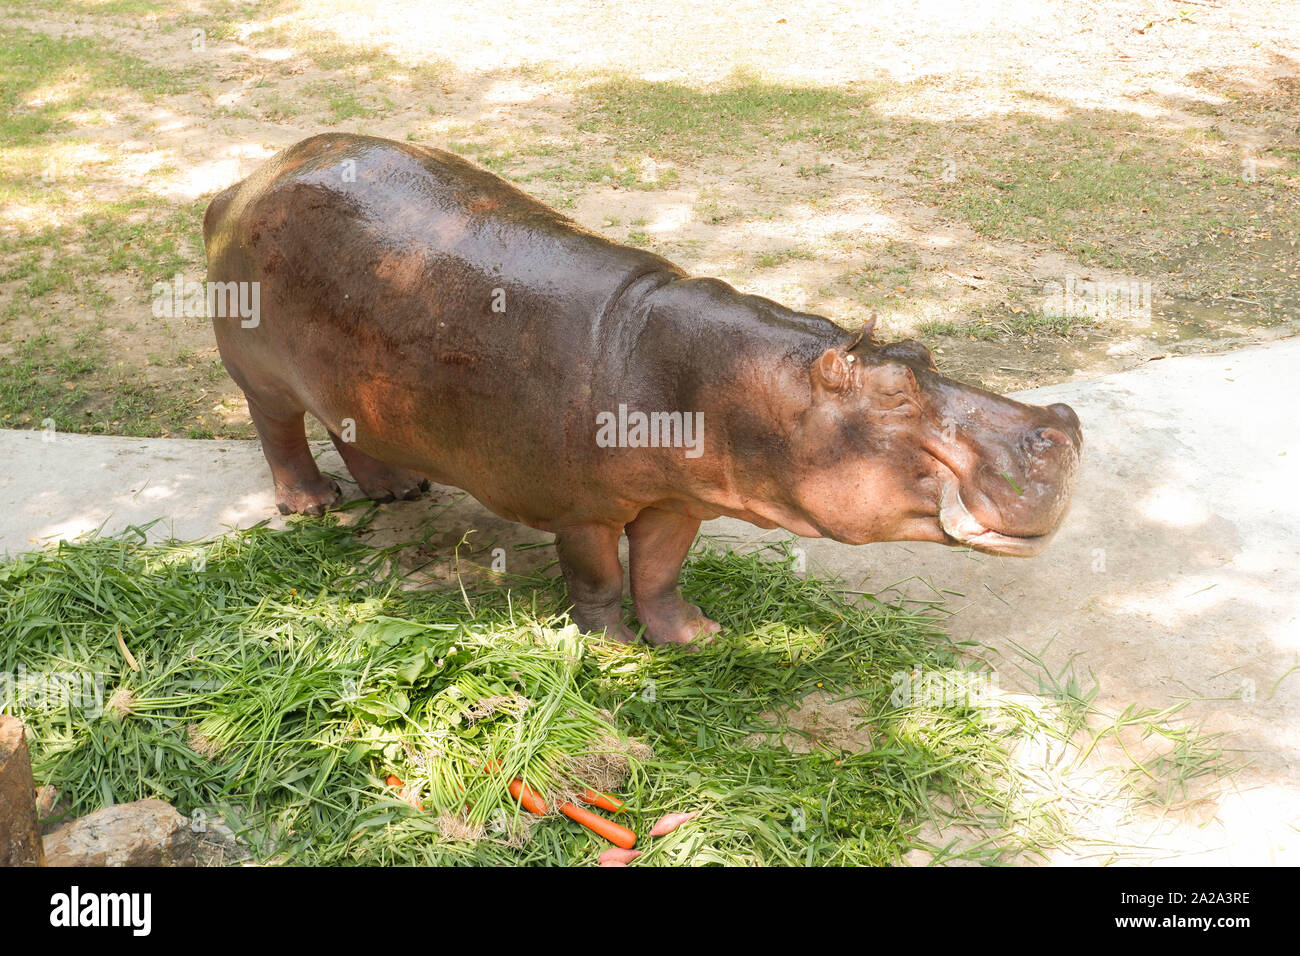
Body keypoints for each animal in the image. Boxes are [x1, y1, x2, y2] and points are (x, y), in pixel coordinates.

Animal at [203, 133, 1081, 646]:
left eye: (923, 351)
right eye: (896, 390)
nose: (1063, 424)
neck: (726, 383)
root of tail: (245, 181)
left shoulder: (678, 502)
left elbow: (659, 573)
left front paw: (695, 635)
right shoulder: (582, 510)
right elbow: (596, 580)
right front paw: (611, 650)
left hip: (351, 368)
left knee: (349, 426)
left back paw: (399, 491)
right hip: (259, 370)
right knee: (280, 431)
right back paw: (312, 506)